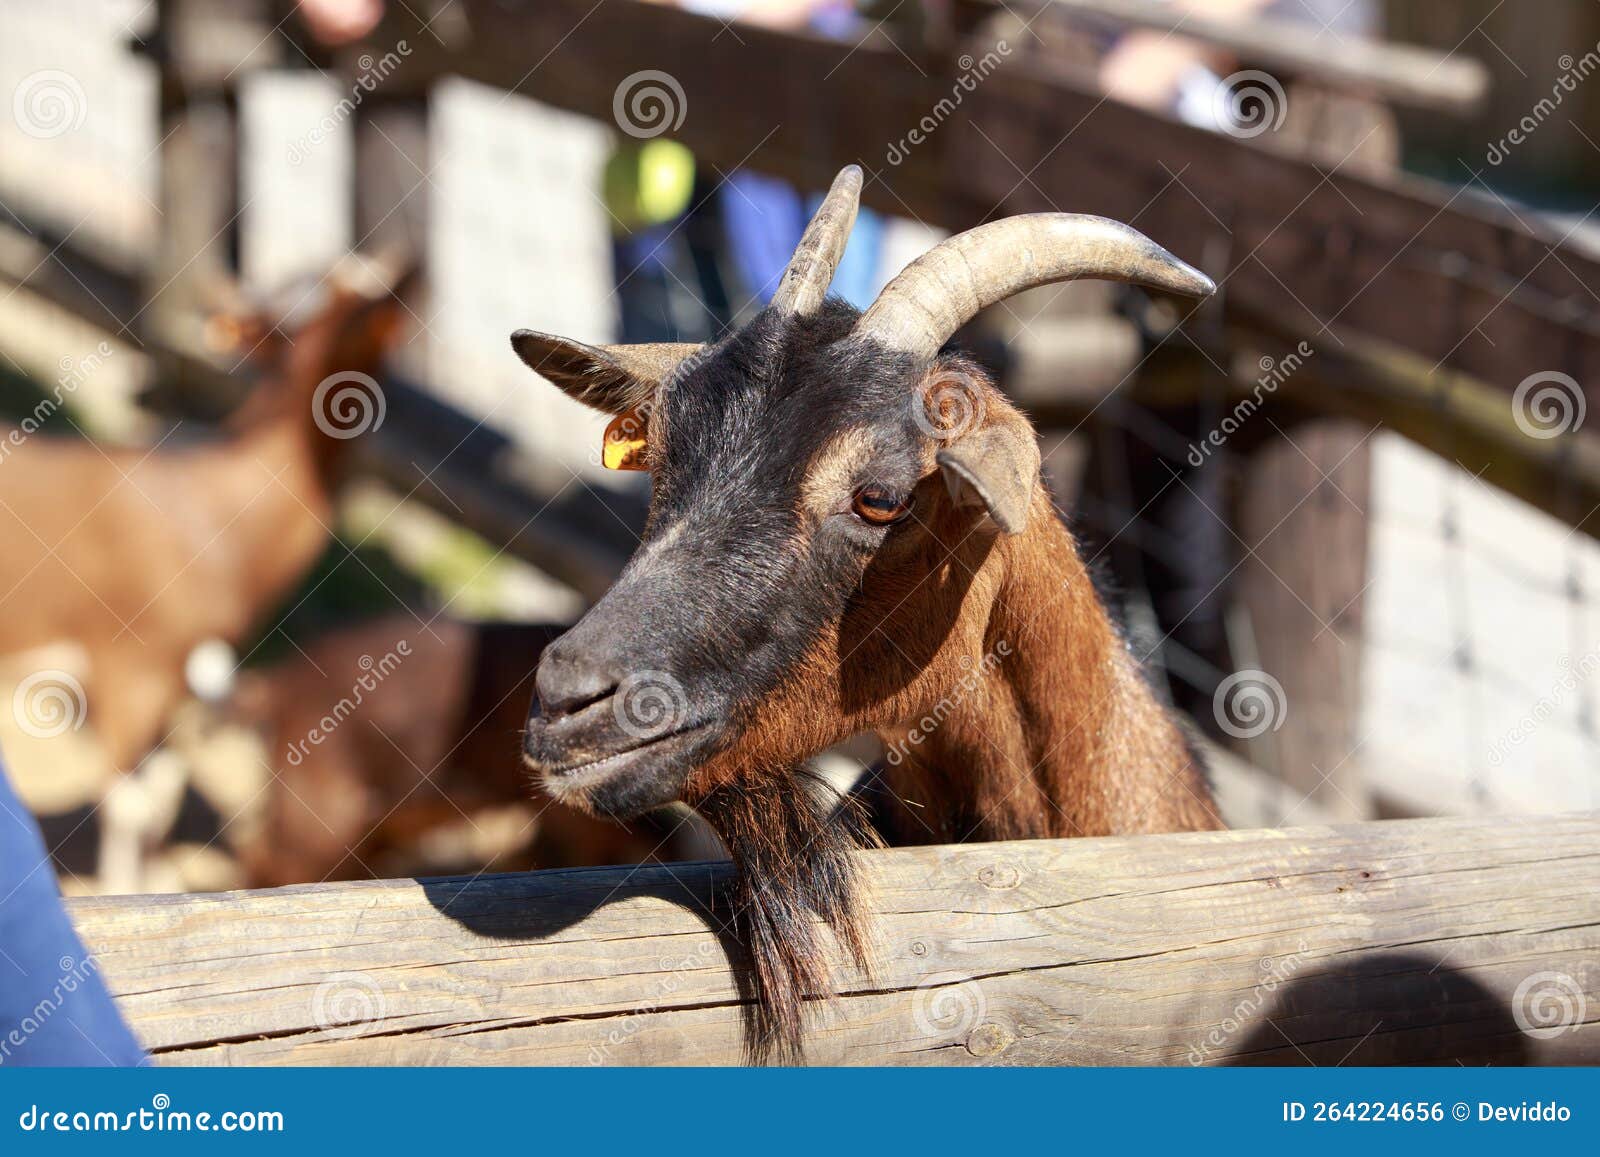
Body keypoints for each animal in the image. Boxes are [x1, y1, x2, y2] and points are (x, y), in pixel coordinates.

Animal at [0, 257, 409, 890]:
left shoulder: (176, 682)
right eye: (318, 299)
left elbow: (163, 796)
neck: (214, 512)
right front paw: (128, 893)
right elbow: (129, 802)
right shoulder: (126, 669)